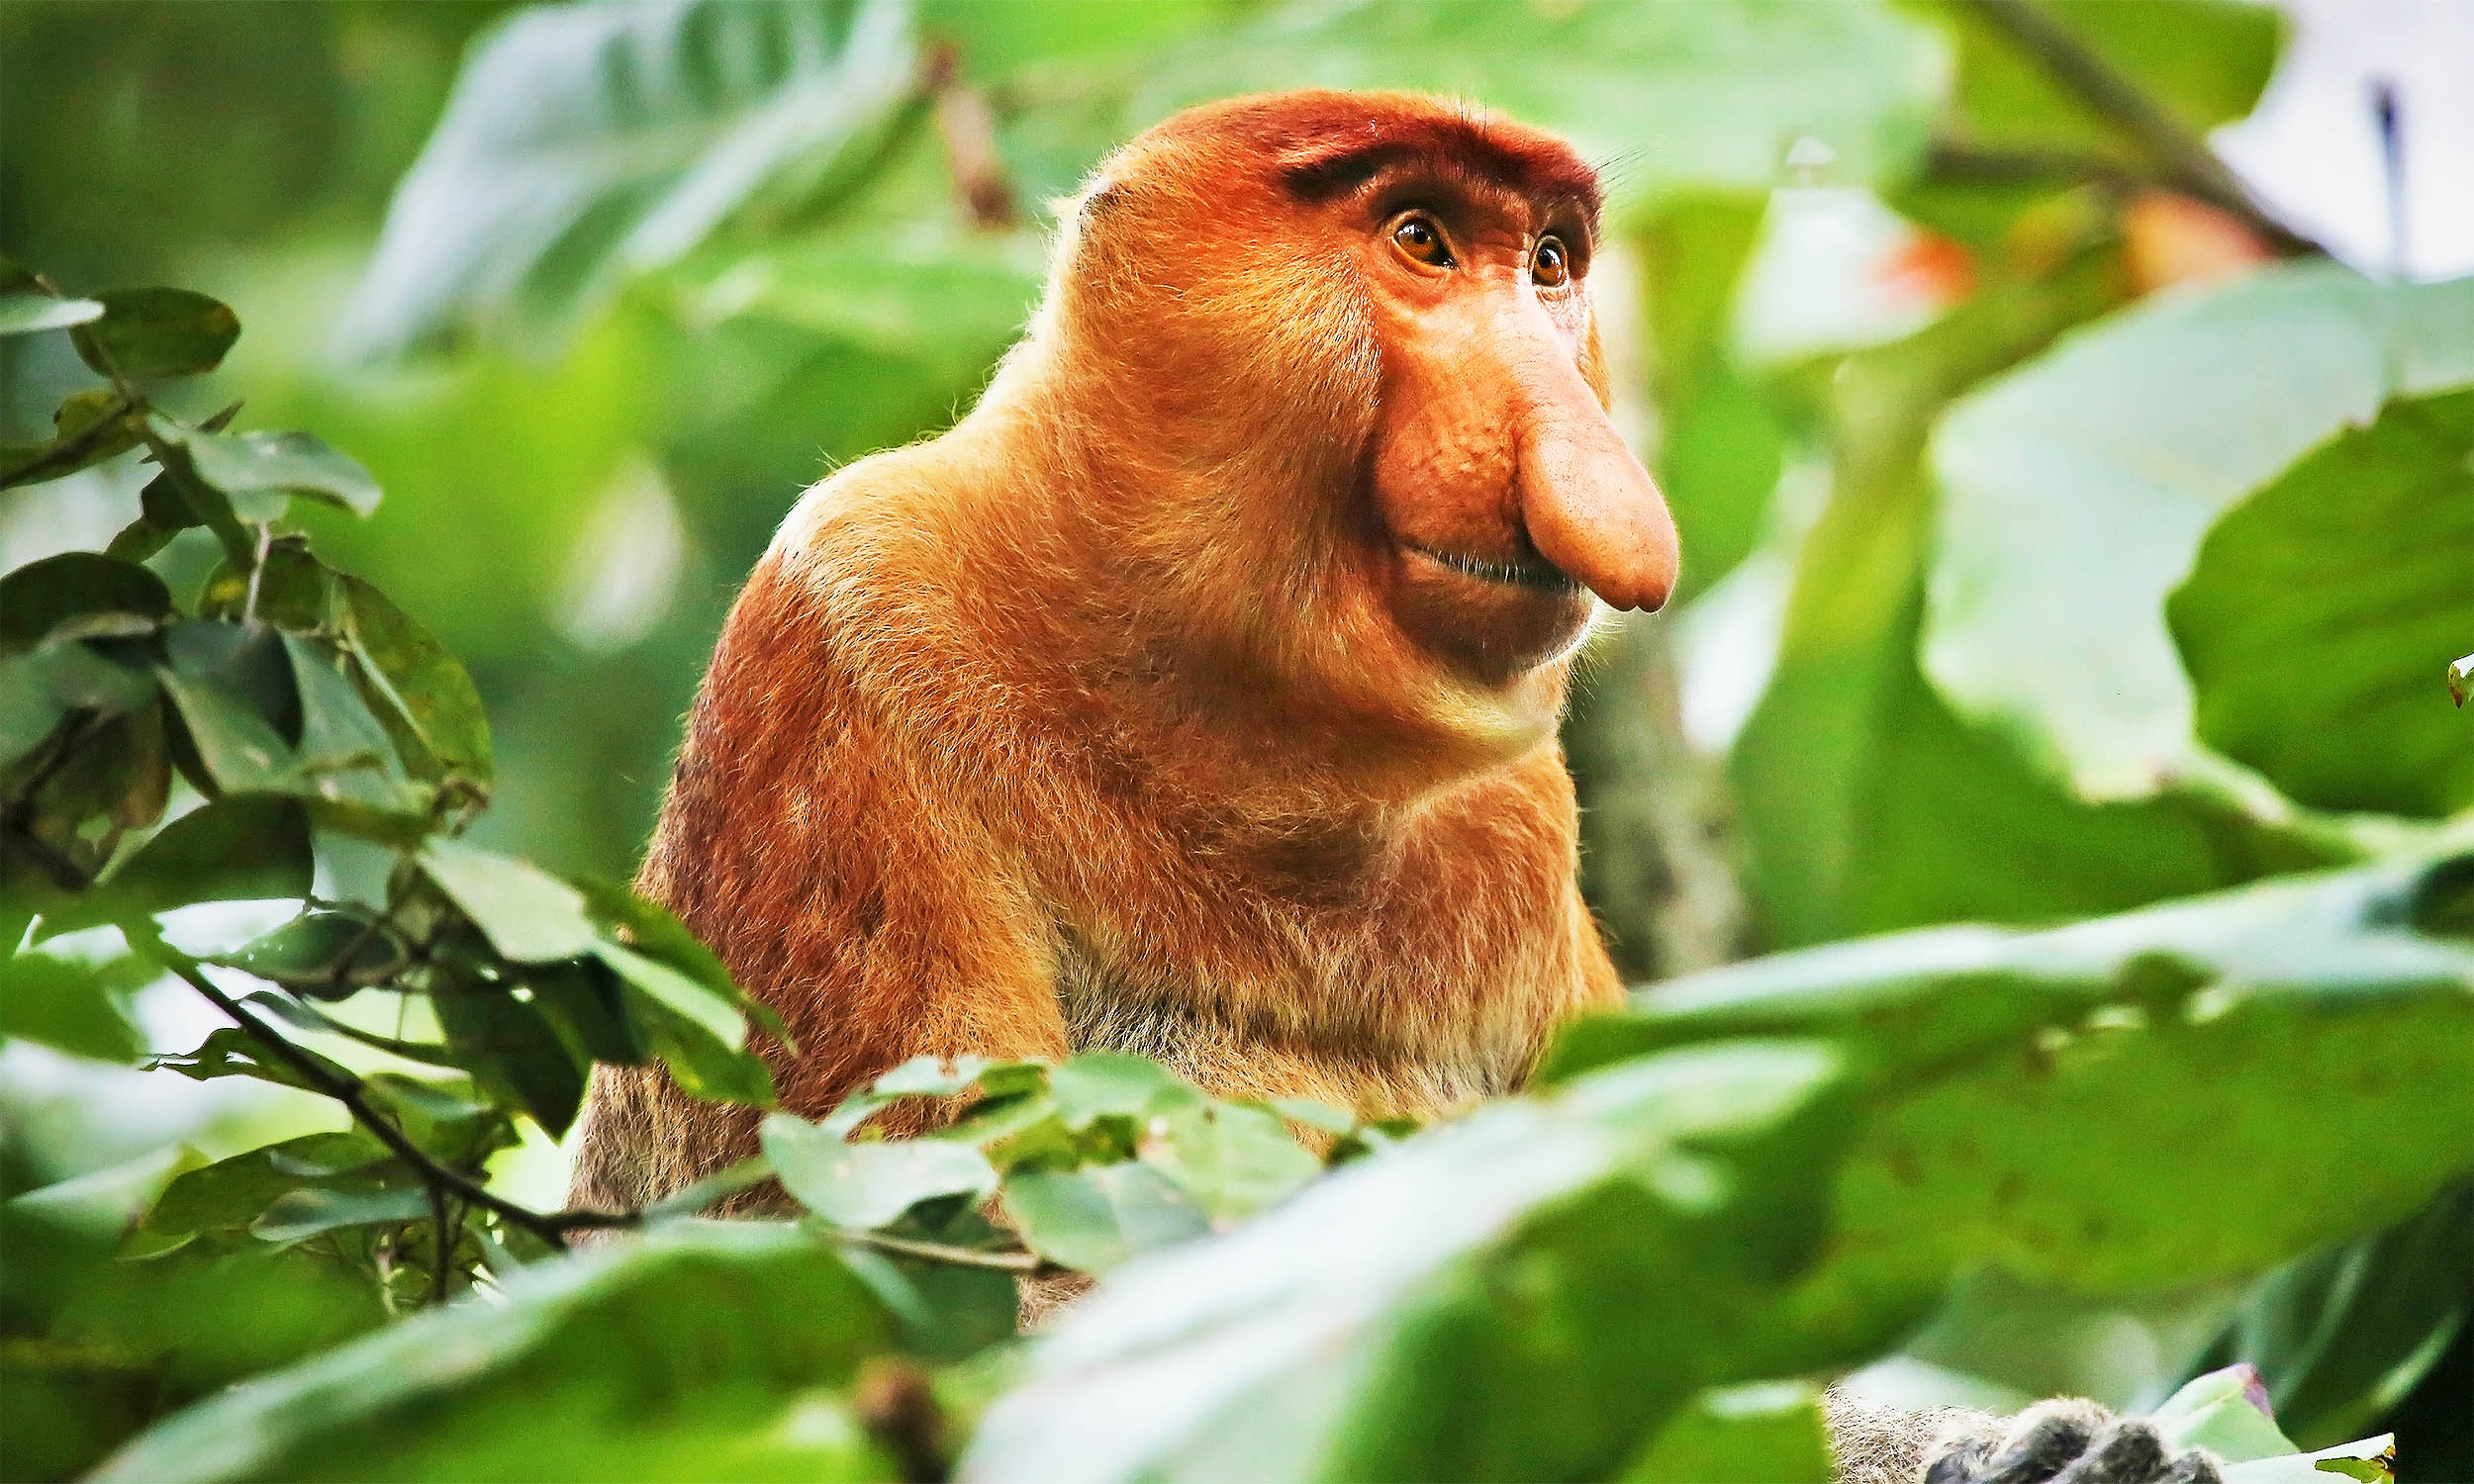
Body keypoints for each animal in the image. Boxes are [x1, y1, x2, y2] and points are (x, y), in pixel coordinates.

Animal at [568, 91, 2221, 1484]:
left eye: (1548, 265)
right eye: (1421, 240)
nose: (1573, 427)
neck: (1228, 724)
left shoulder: (1520, 815)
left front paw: (2040, 1449)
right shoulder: (851, 634)